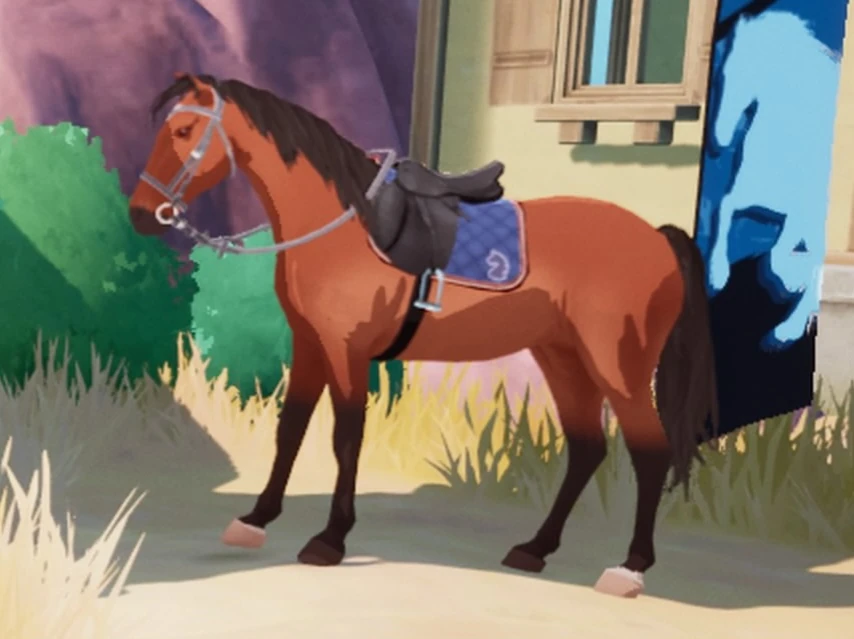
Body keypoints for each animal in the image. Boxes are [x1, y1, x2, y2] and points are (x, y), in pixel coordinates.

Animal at [128, 73, 718, 598]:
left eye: (184, 131)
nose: (142, 214)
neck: (345, 223)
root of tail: (658, 237)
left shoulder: (346, 350)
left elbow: (345, 437)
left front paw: (329, 539)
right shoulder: (311, 345)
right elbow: (291, 429)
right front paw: (255, 519)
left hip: (619, 367)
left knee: (649, 453)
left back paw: (628, 569)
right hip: (562, 357)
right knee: (587, 449)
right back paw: (534, 549)